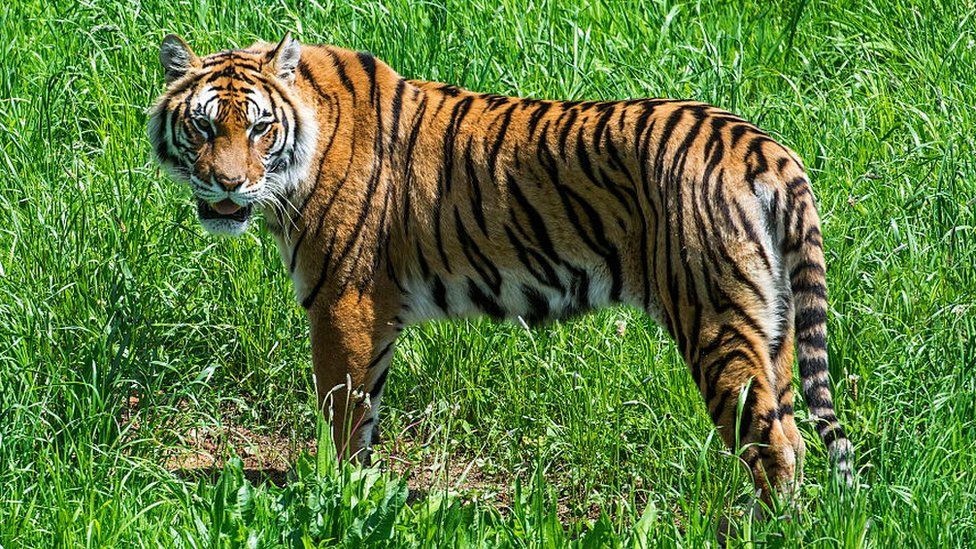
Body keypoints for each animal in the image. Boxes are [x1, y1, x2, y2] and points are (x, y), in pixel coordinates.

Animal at [148, 33, 854, 506]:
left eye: (259, 129)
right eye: (204, 127)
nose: (227, 186)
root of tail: (758, 143)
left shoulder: (342, 301)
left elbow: (343, 413)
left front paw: (335, 497)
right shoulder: (375, 314)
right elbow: (367, 410)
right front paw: (365, 493)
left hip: (715, 319)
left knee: (773, 447)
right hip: (772, 325)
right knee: (791, 431)